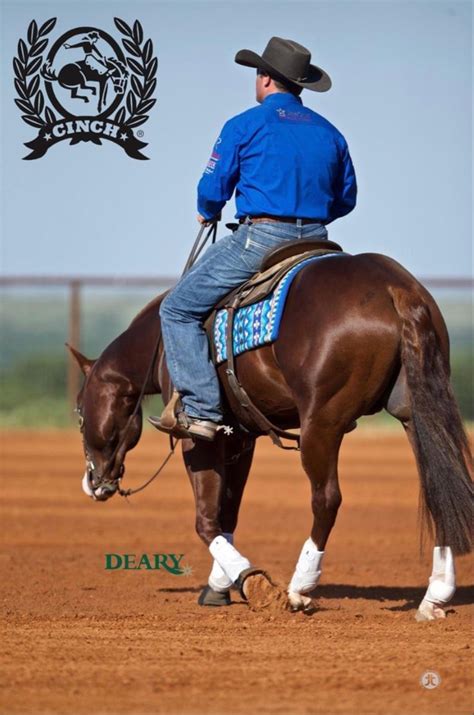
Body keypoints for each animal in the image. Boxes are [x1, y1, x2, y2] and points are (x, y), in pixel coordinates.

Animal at [68, 250, 472, 620]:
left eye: (81, 415)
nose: (92, 482)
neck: (160, 345)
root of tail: (393, 287)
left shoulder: (199, 438)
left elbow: (206, 518)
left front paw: (252, 582)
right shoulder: (239, 437)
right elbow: (228, 512)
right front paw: (219, 585)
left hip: (321, 424)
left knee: (327, 499)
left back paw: (298, 589)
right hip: (417, 413)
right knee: (439, 490)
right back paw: (435, 596)